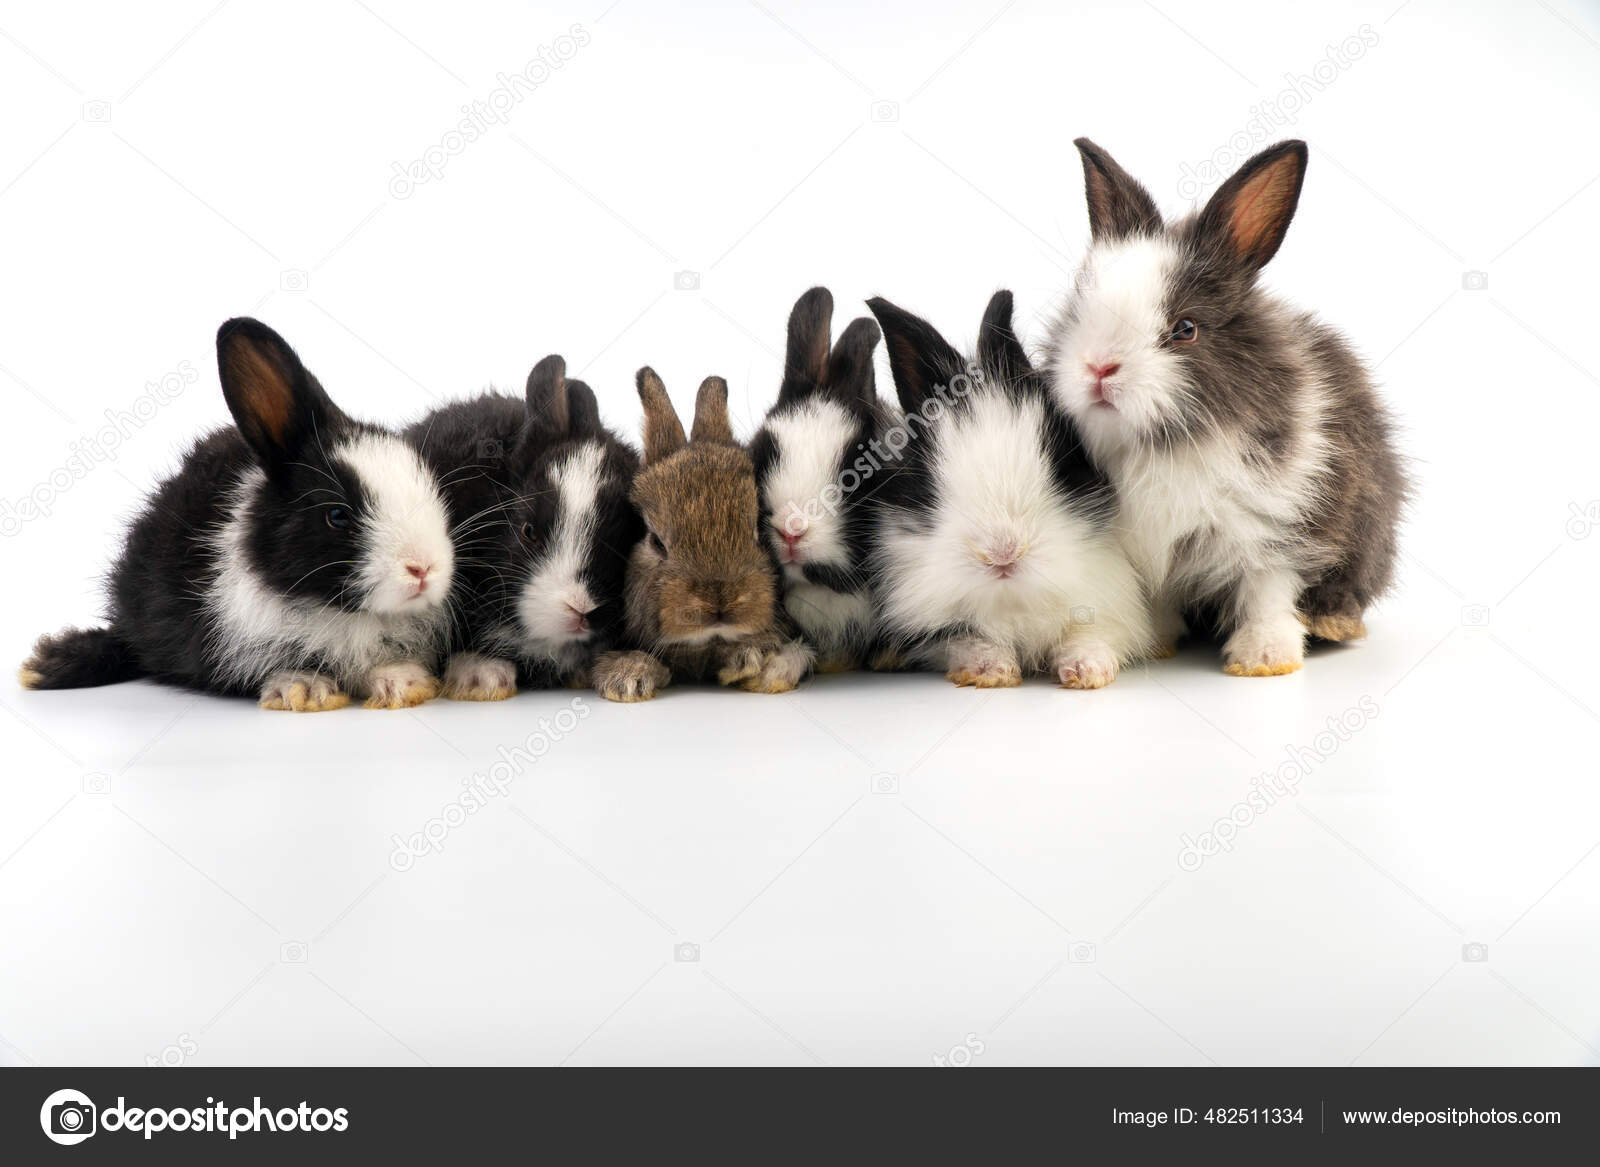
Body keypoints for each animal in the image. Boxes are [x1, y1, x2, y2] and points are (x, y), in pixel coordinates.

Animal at [19, 318, 456, 710]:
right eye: (336, 515)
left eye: (433, 491)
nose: (423, 568)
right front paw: (302, 690)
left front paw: (402, 683)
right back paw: (48, 663)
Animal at [866, 291, 1154, 689]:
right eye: (928, 486)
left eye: (1061, 465)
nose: (1002, 553)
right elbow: (963, 638)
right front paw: (992, 669)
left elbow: (1091, 633)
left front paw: (1087, 670)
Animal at [1044, 138, 1408, 676]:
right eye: (1076, 311)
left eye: (1185, 329)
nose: (1098, 368)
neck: (1159, 445)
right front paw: (1149, 642)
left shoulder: (1275, 527)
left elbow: (1267, 591)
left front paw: (1264, 657)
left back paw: (1333, 623)